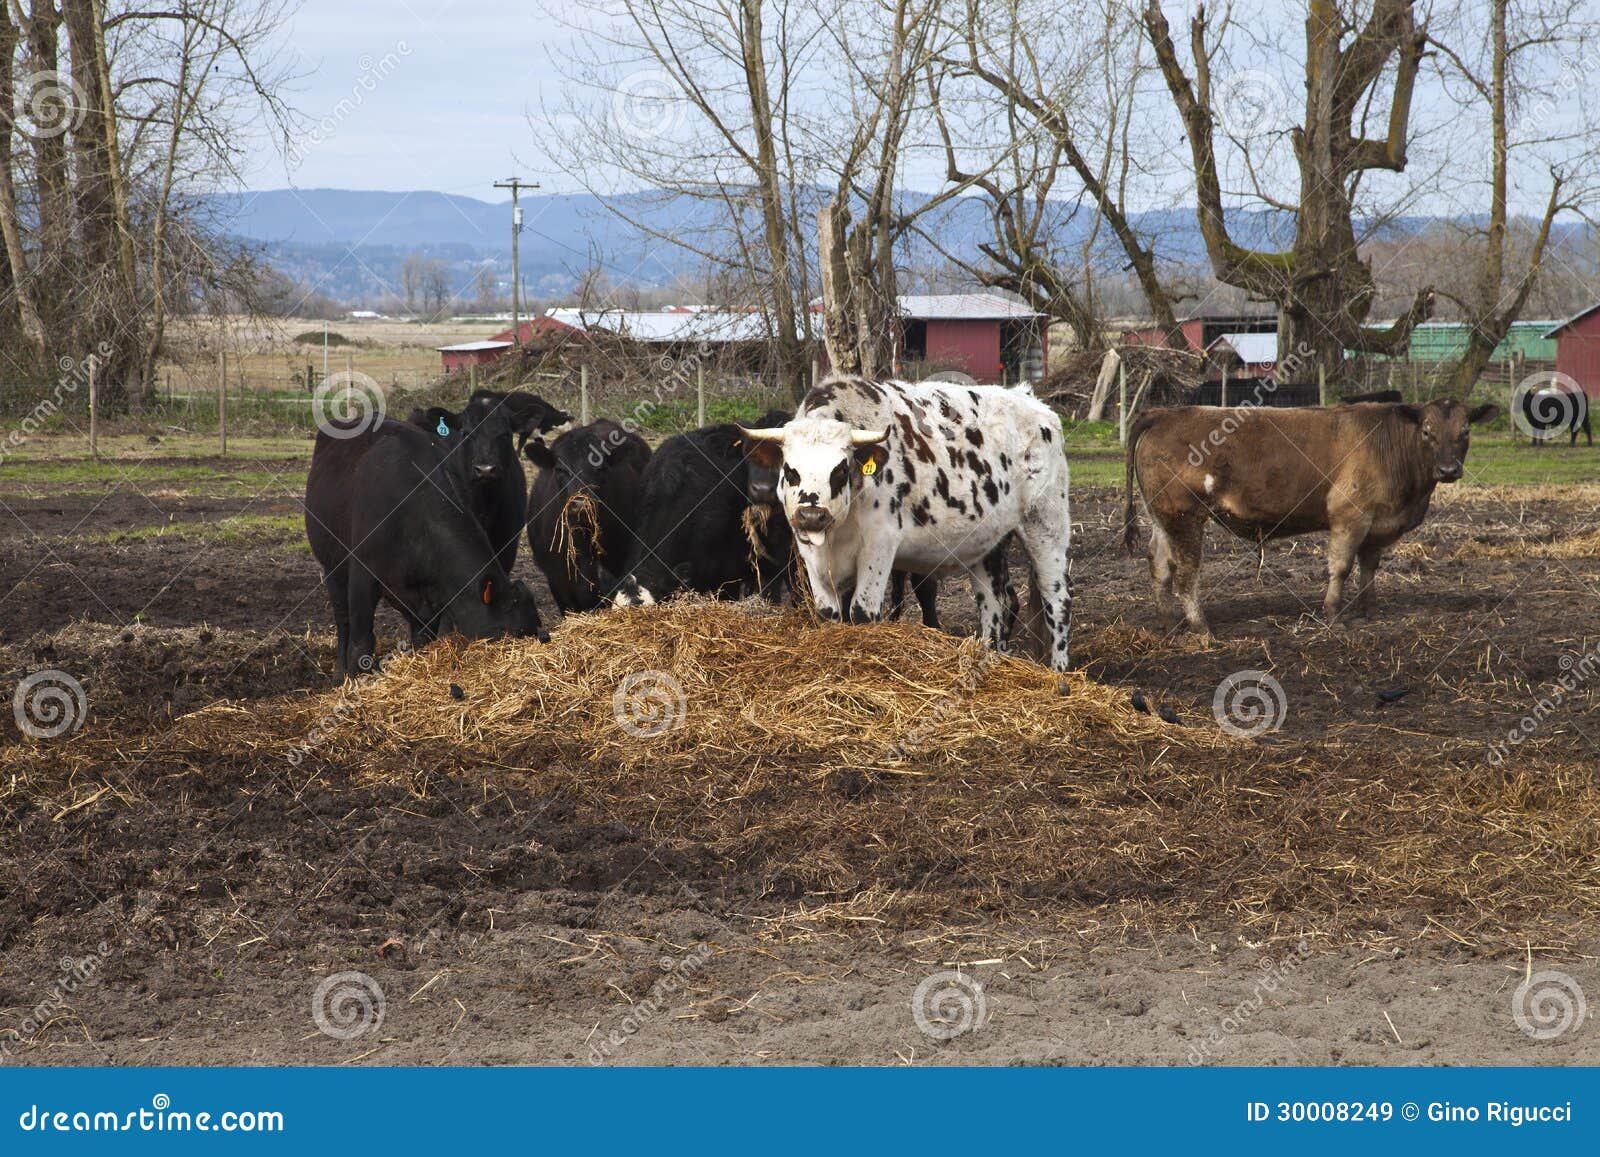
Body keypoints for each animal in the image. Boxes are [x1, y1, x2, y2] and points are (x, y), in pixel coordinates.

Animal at [305, 416, 548, 676]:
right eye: (505, 635)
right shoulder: (362, 577)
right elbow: (361, 643)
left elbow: (430, 638)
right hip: (332, 568)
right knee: (343, 624)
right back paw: (339, 674)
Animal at [740, 376, 1074, 671]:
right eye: (789, 469)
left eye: (841, 469)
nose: (812, 516)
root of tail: (1030, 400)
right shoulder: (811, 552)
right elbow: (828, 613)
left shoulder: (880, 545)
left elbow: (862, 611)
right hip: (989, 542)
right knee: (995, 602)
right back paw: (990, 655)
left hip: (1046, 525)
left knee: (1058, 598)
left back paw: (1059, 672)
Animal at [1122, 397, 1497, 637]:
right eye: (1427, 431)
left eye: (1465, 431)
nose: (1448, 470)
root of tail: (1164, 413)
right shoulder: (1350, 516)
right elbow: (1341, 568)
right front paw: (1334, 615)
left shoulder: (1377, 523)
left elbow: (1368, 569)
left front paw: (1369, 611)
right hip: (1185, 517)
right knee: (1186, 573)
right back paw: (1201, 628)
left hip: (1162, 517)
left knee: (1160, 565)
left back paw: (1168, 625)